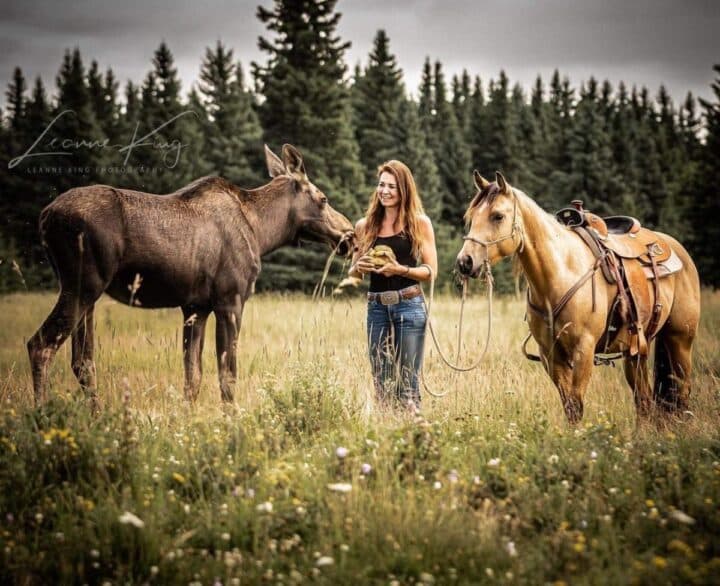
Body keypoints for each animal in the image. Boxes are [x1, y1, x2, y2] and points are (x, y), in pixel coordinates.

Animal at [28, 144, 355, 405]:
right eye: (324, 199)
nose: (349, 234)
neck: (263, 232)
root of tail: (44, 217)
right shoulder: (230, 300)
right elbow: (228, 375)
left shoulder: (195, 307)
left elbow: (192, 377)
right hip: (82, 284)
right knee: (41, 345)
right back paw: (42, 415)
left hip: (88, 293)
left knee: (82, 360)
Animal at [456, 171, 700, 424]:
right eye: (471, 217)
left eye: (498, 216)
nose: (465, 262)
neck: (560, 273)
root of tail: (675, 247)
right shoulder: (550, 354)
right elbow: (569, 406)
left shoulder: (584, 349)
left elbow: (576, 405)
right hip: (636, 350)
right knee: (643, 401)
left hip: (680, 340)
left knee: (682, 391)